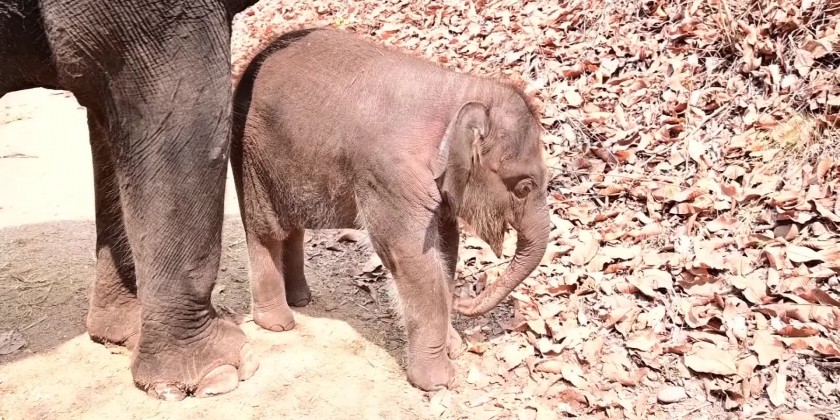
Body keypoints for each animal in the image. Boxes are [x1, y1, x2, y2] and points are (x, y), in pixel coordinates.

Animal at [230, 28, 550, 391]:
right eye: (523, 187)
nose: (466, 299)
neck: (459, 94)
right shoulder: (389, 177)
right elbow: (413, 257)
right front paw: (440, 381)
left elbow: (446, 247)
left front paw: (453, 347)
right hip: (250, 152)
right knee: (266, 230)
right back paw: (278, 323)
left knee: (292, 226)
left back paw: (301, 300)